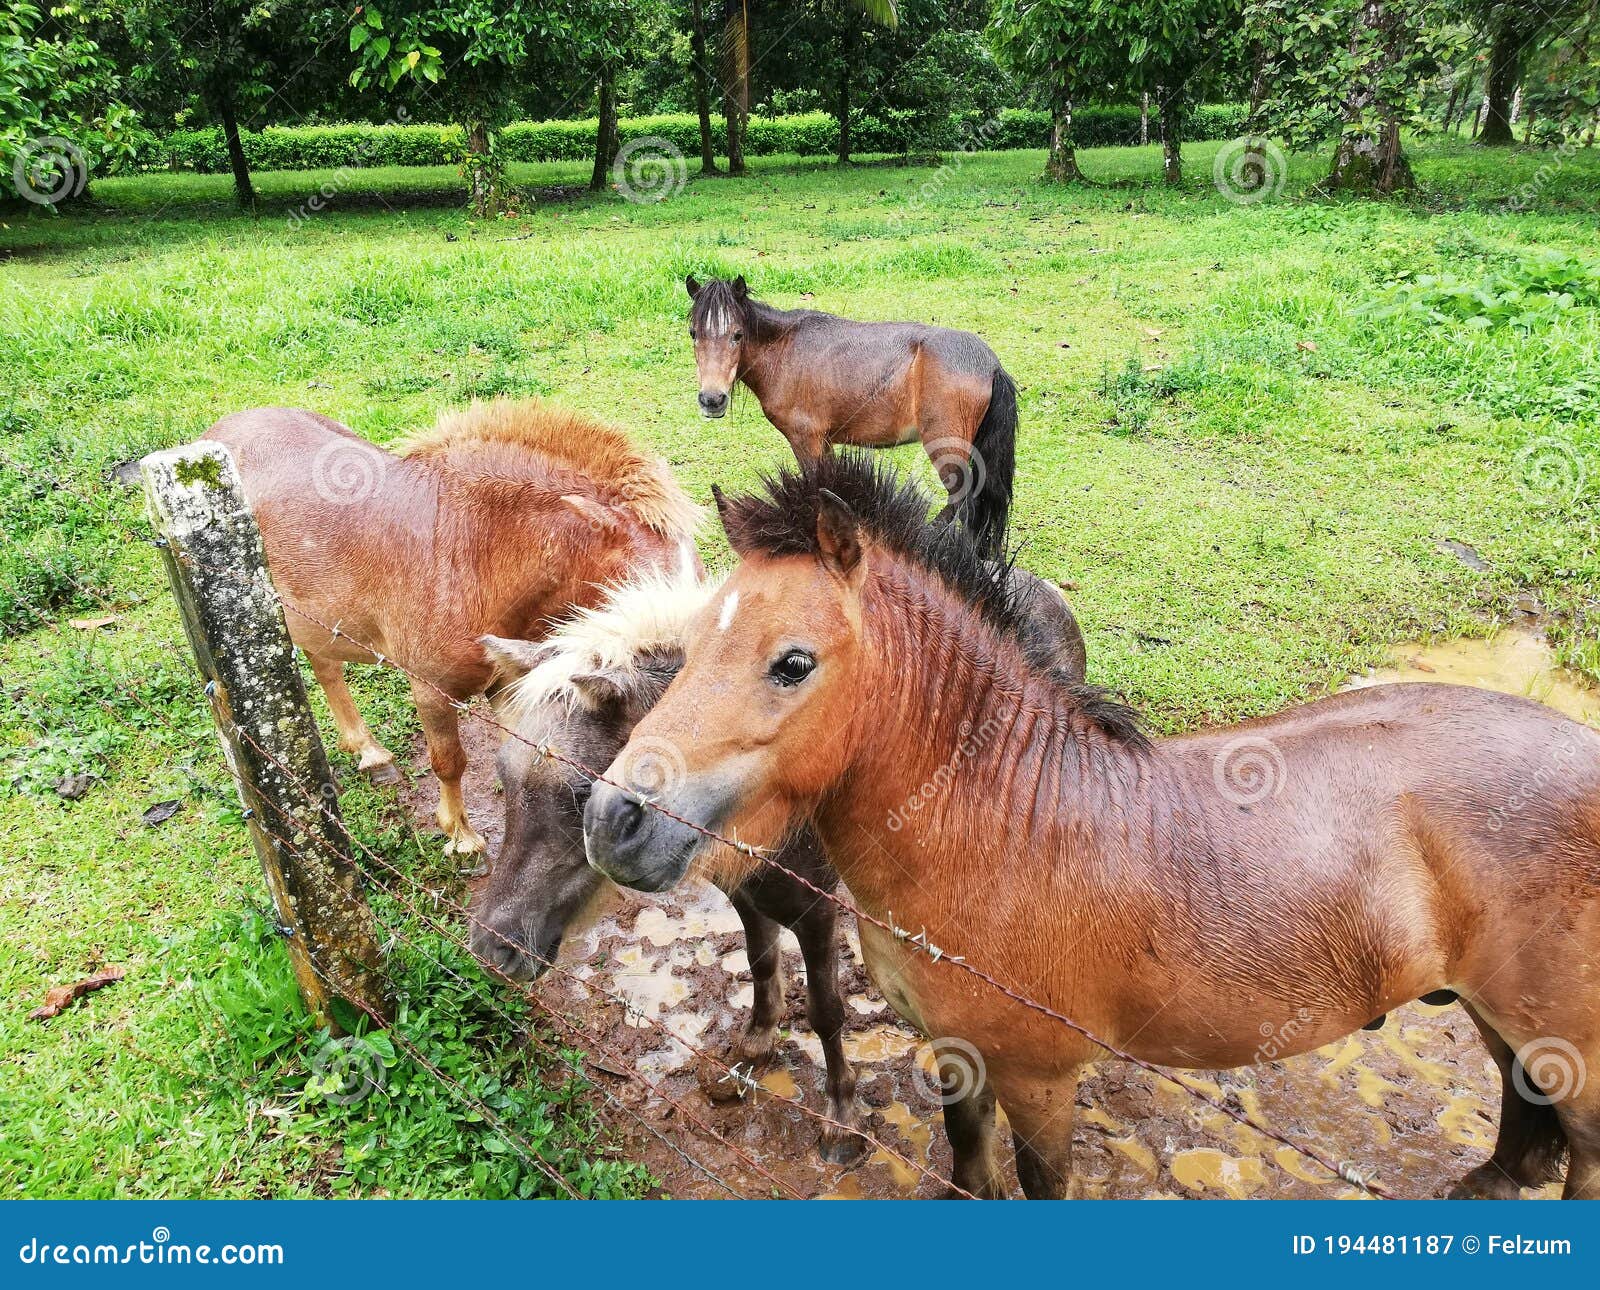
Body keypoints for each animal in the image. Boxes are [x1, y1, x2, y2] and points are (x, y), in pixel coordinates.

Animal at [204, 398, 700, 856]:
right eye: (639, 592)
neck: (472, 552)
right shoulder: (430, 690)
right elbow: (449, 761)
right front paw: (462, 839)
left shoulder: (509, 684)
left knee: (325, 666)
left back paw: (368, 752)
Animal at [468, 558, 1086, 1164]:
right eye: (503, 773)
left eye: (579, 795)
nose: (494, 948)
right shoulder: (748, 895)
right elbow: (760, 963)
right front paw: (752, 1051)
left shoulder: (817, 911)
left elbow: (826, 1012)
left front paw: (842, 1120)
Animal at [584, 451, 1600, 1200]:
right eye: (688, 647)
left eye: (792, 663)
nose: (613, 819)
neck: (1001, 831)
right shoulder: (959, 1057)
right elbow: (968, 1170)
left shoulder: (1039, 1080)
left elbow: (1039, 1186)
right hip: (1502, 1016)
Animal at [686, 274, 1017, 556]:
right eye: (694, 333)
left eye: (737, 335)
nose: (712, 400)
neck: (784, 351)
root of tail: (990, 365)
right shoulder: (823, 442)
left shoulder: (806, 441)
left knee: (965, 506)